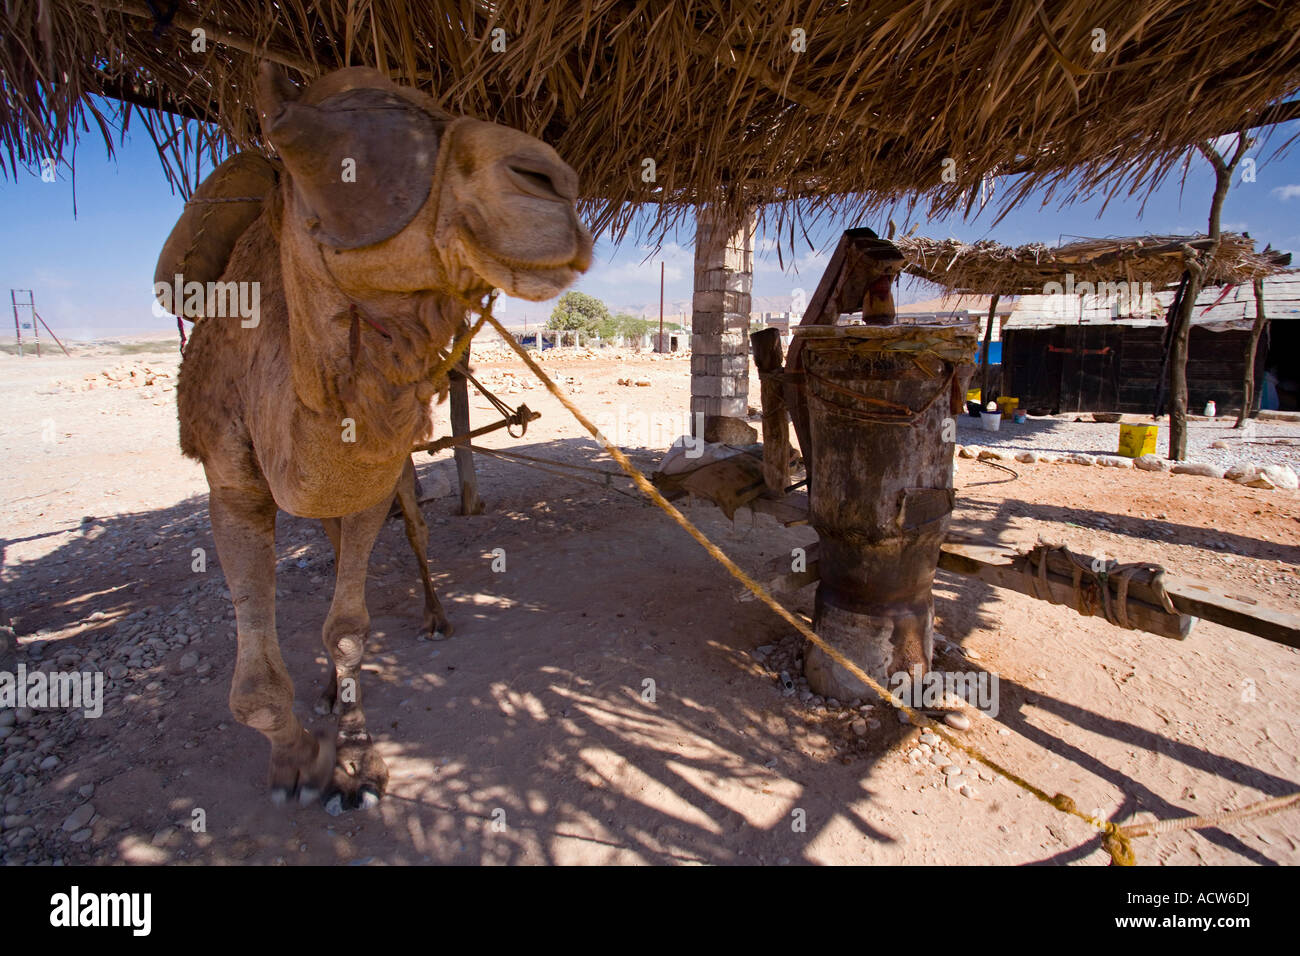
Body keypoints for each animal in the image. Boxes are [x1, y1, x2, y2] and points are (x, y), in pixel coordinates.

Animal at [165, 63, 592, 813]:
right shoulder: (233, 485)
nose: (556, 186)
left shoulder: (372, 475)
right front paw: (299, 761)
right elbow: (255, 690)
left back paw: (434, 615)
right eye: (303, 141)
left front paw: (355, 759)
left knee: (413, 532)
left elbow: (348, 630)